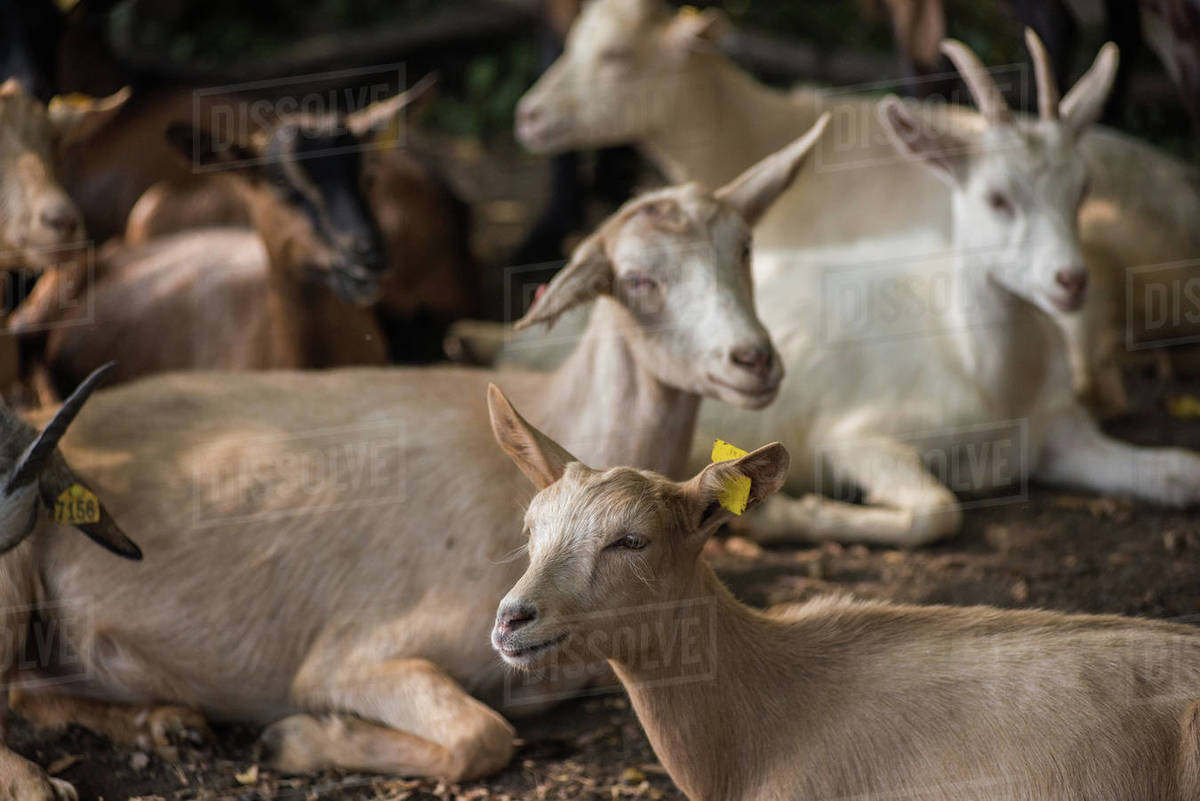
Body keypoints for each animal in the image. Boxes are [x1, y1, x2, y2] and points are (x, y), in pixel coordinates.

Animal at [684, 34, 1200, 548]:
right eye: (997, 197)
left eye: (1082, 189)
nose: (1071, 280)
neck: (983, 374)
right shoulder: (856, 436)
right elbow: (939, 510)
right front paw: (778, 518)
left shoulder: (1063, 434)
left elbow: (1182, 471)